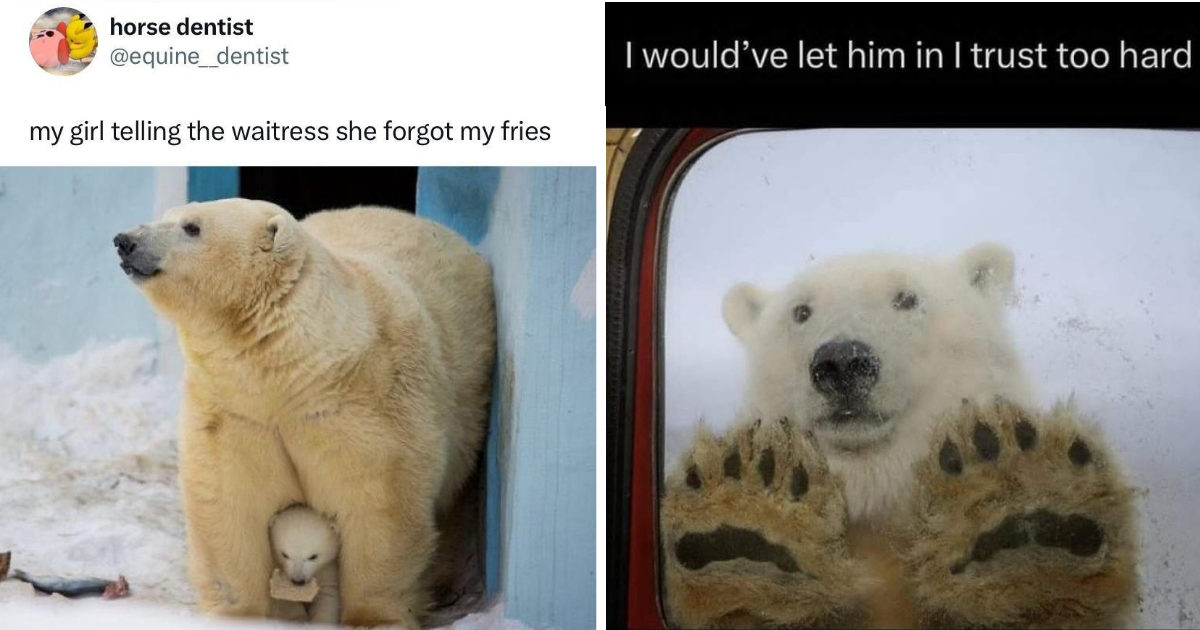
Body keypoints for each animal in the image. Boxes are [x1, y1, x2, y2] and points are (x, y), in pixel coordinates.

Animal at [113, 198, 496, 628]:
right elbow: (228, 501)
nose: (125, 241)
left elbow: (381, 505)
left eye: (192, 227)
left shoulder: (369, 405)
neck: (297, 369)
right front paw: (238, 613)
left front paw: (376, 617)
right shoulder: (237, 409)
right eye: (167, 216)